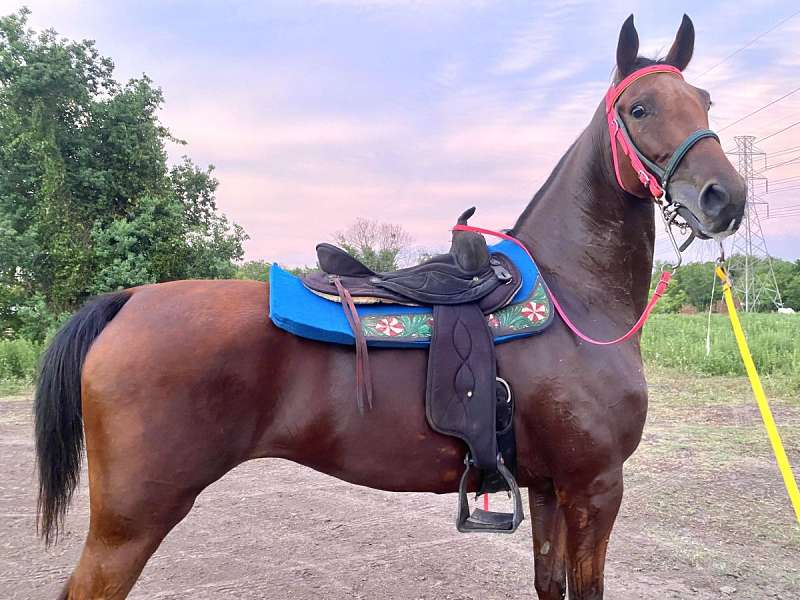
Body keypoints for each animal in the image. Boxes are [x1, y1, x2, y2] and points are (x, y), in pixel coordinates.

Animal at [34, 14, 746, 599]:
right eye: (640, 107)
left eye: (704, 100)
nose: (725, 197)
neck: (575, 298)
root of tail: (128, 302)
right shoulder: (594, 488)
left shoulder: (549, 489)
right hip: (130, 523)